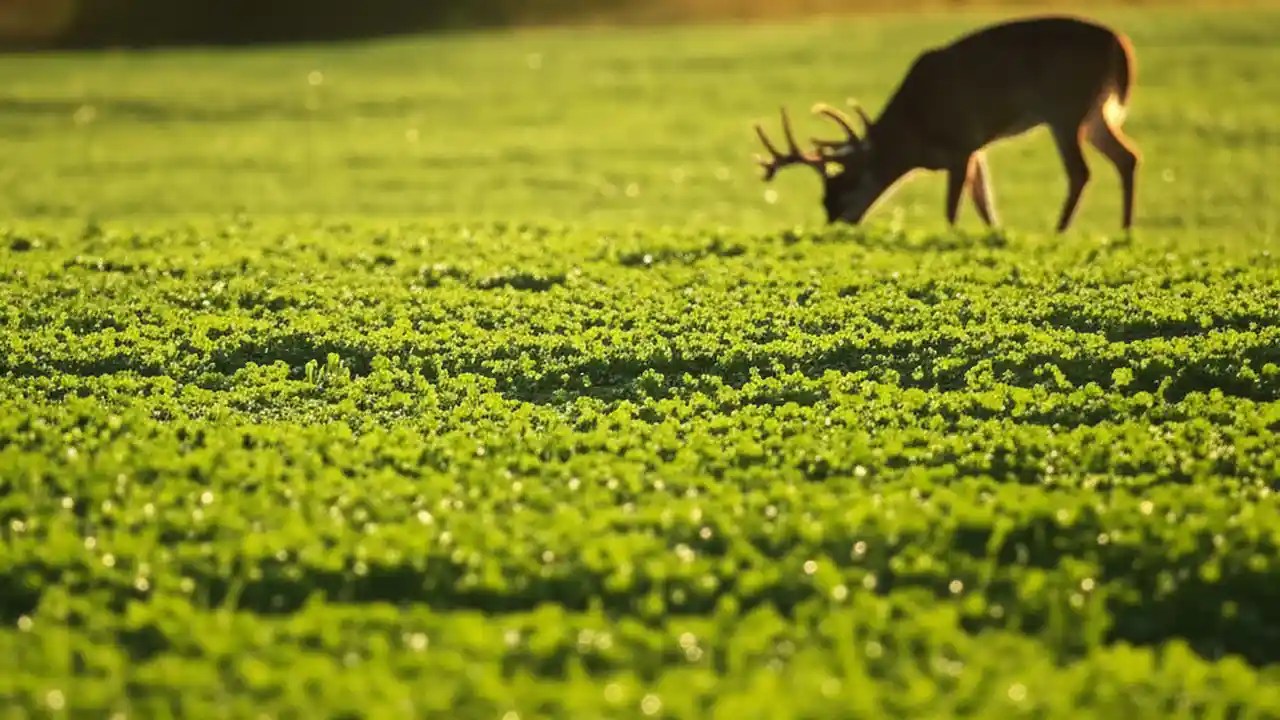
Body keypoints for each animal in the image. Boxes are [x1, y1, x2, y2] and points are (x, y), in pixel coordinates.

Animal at [754, 16, 1140, 233]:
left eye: (841, 190)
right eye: (824, 200)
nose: (834, 224)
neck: (913, 134)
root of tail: (1119, 43)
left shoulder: (962, 143)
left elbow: (953, 208)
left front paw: (952, 240)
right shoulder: (976, 149)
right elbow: (983, 201)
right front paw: (994, 237)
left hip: (1066, 107)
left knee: (1080, 172)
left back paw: (1059, 232)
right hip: (1094, 113)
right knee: (1128, 157)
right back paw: (1124, 232)